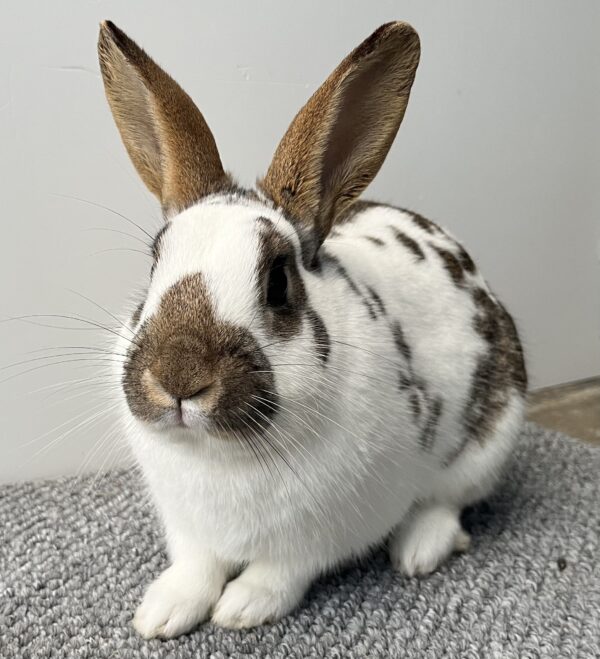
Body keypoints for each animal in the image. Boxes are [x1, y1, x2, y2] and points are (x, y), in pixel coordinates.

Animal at [97, 19, 527, 639]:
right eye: (155, 263)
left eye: (278, 282)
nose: (178, 379)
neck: (220, 453)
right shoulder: (189, 529)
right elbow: (196, 567)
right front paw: (162, 613)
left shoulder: (321, 536)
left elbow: (280, 572)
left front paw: (242, 609)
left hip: (488, 442)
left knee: (448, 501)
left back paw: (418, 549)